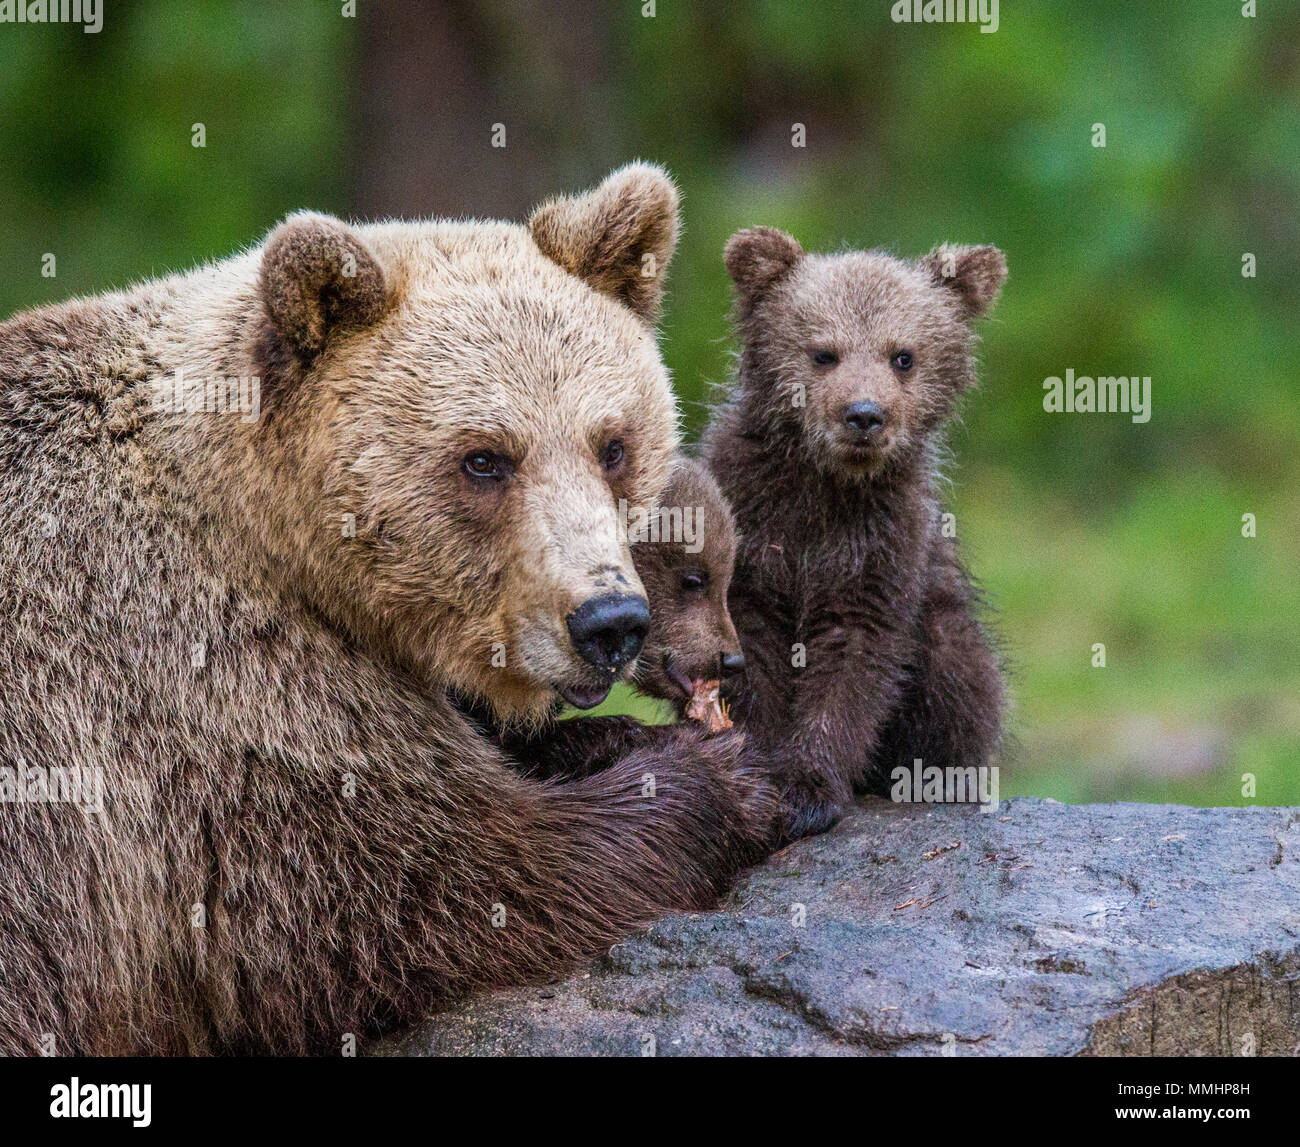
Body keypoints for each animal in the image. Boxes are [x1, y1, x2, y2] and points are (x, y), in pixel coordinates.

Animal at [0, 164, 778, 1056]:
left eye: (612, 444)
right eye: (484, 459)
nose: (608, 621)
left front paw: (616, 740)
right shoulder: (191, 683)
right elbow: (417, 884)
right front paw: (714, 777)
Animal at [703, 226, 1007, 842]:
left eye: (903, 356)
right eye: (824, 352)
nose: (864, 414)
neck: (827, 487)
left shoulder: (885, 541)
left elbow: (856, 656)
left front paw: (809, 788)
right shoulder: (748, 524)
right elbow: (748, 646)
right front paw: (762, 774)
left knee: (960, 667)